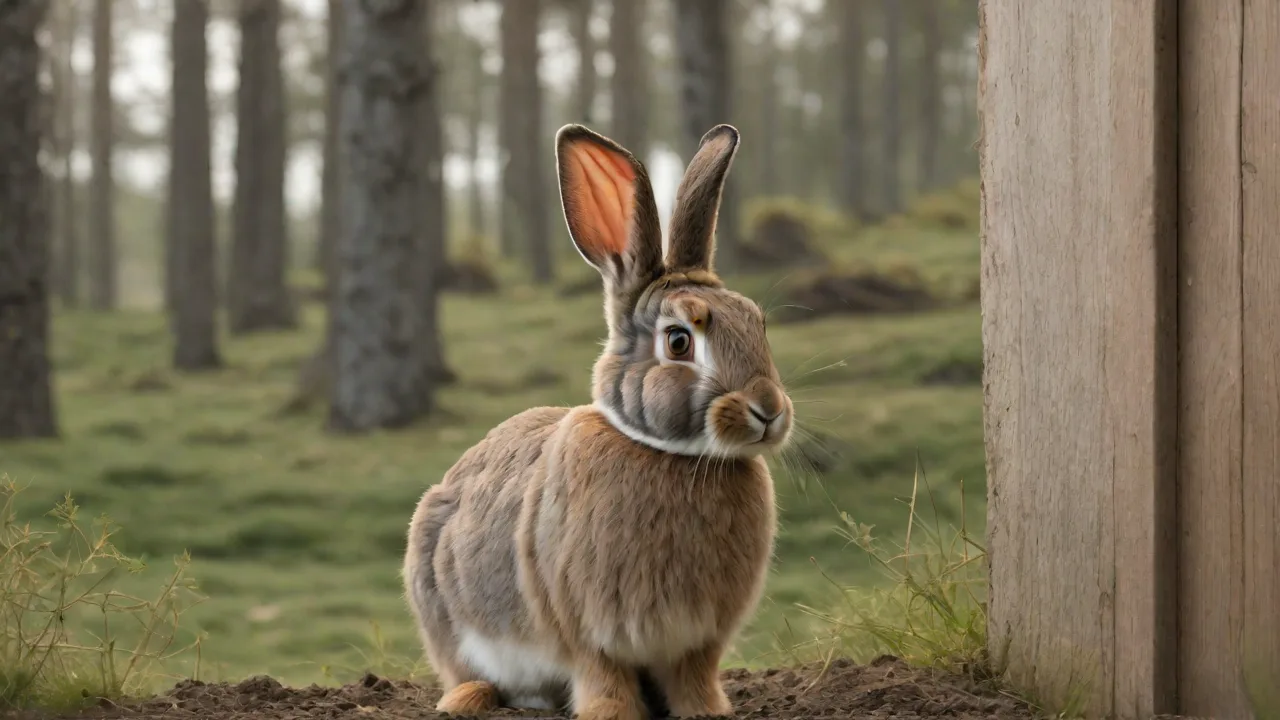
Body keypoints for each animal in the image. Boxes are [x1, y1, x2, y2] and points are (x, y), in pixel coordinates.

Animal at [402, 122, 794, 720]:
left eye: (757, 323)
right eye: (678, 341)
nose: (769, 411)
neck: (669, 454)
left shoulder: (699, 642)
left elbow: (694, 677)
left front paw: (708, 711)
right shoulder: (585, 631)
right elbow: (601, 675)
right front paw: (612, 713)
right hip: (438, 601)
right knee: (468, 670)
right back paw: (468, 698)